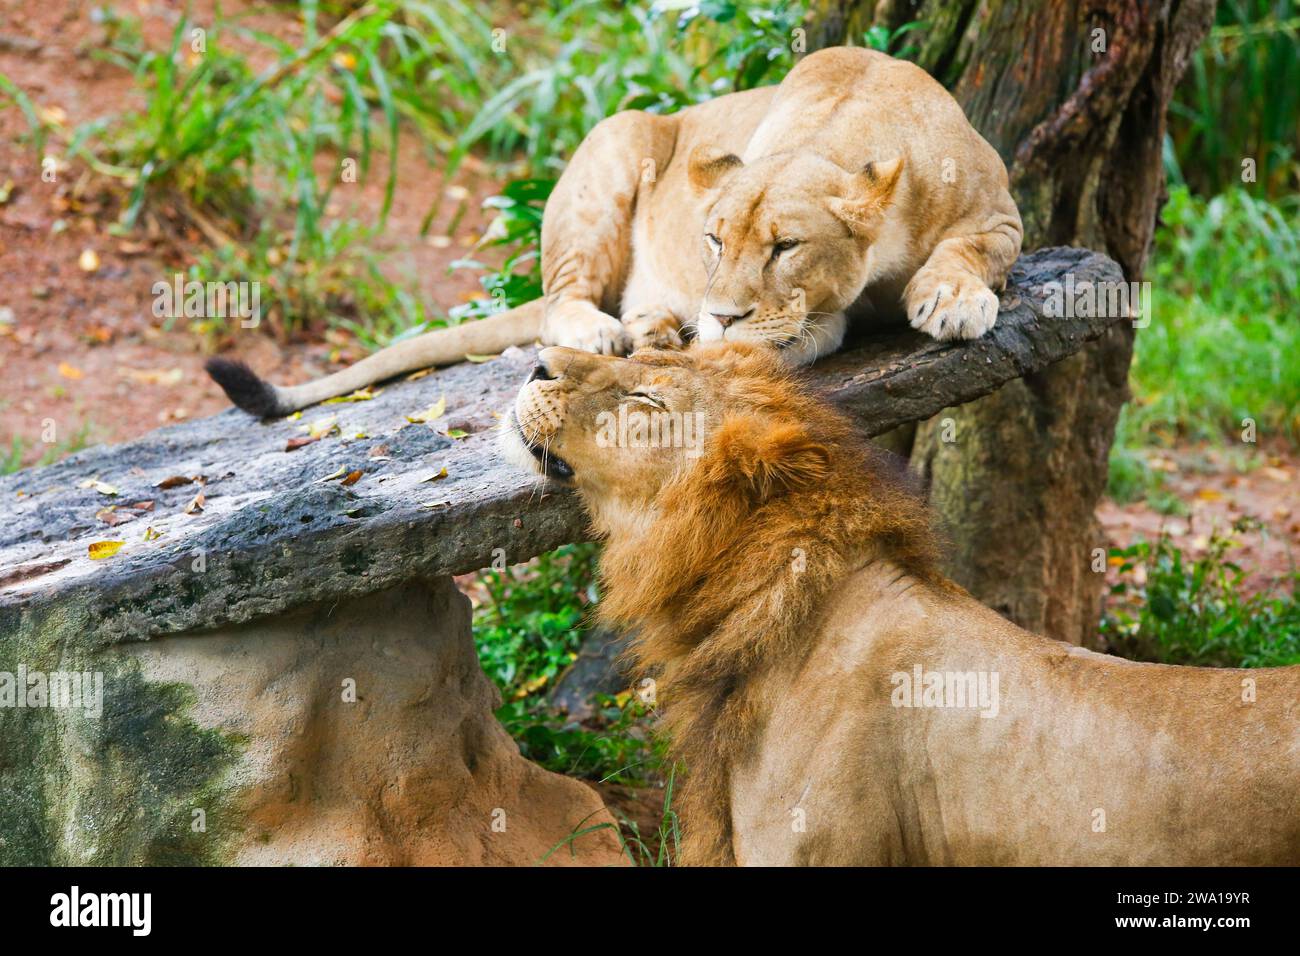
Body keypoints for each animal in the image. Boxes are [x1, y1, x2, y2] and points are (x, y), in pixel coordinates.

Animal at [207, 47, 1021, 416]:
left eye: (785, 247)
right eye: (713, 240)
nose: (720, 317)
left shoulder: (1003, 212)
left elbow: (970, 246)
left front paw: (950, 296)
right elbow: (818, 325)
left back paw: (655, 328)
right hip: (614, 139)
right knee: (562, 300)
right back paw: (615, 331)